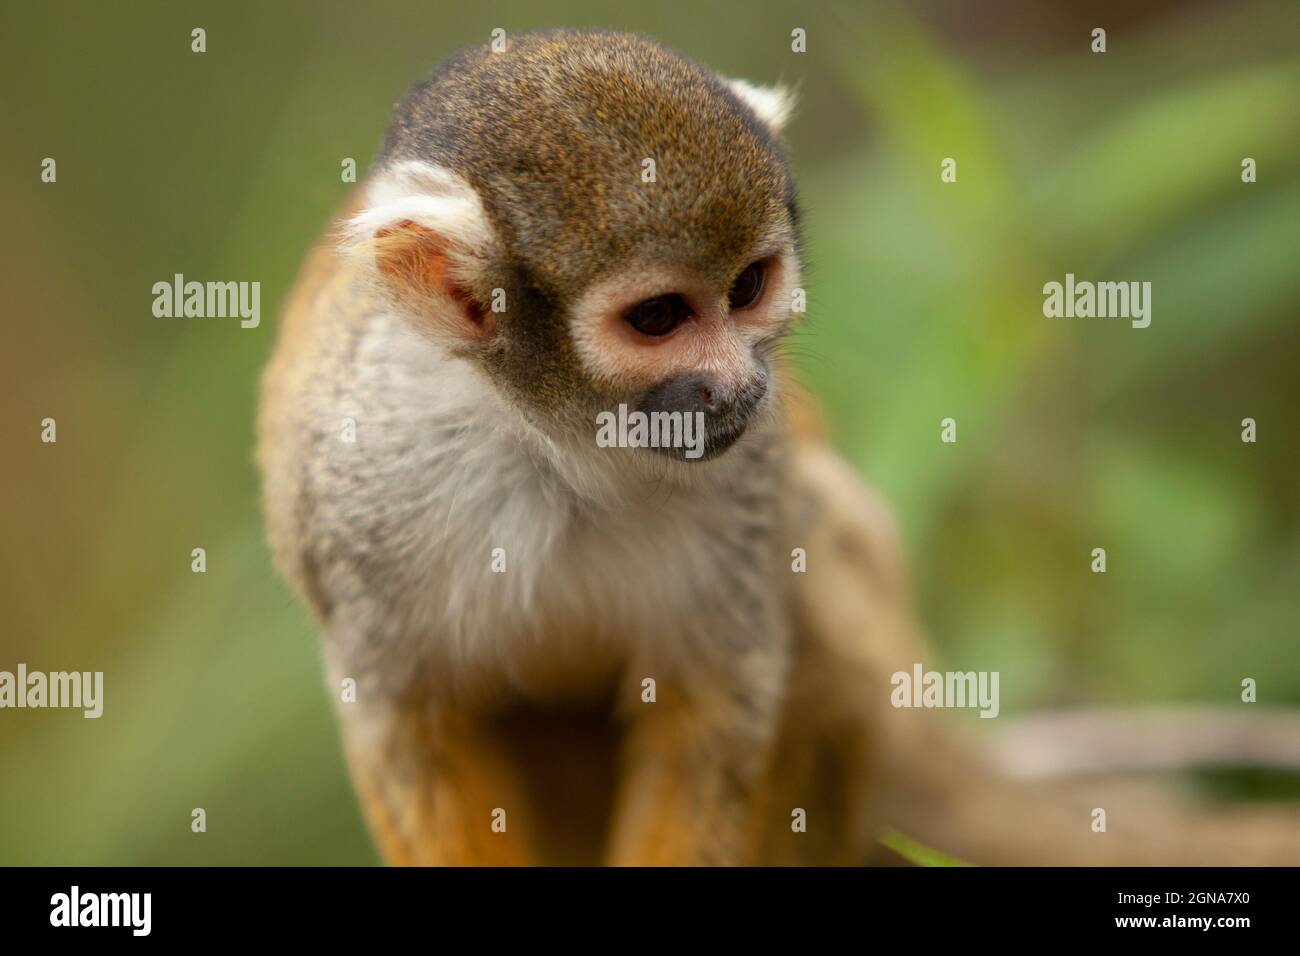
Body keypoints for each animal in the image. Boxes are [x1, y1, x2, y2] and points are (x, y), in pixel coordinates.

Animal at [258, 29, 1300, 866]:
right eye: (660, 317)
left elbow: (717, 703)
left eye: (749, 287)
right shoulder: (364, 482)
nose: (740, 387)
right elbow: (406, 723)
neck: (555, 445)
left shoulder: (747, 473)